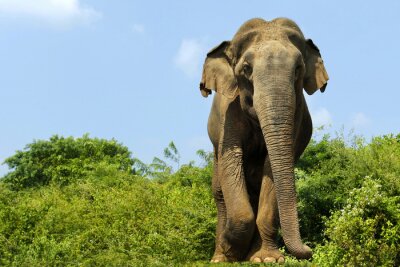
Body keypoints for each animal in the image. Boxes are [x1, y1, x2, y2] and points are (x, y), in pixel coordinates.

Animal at [198, 17, 330, 264]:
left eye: (298, 69)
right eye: (246, 69)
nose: (309, 249)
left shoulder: (296, 113)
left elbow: (272, 168)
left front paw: (269, 260)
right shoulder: (229, 111)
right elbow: (232, 160)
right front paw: (230, 250)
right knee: (219, 193)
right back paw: (220, 258)